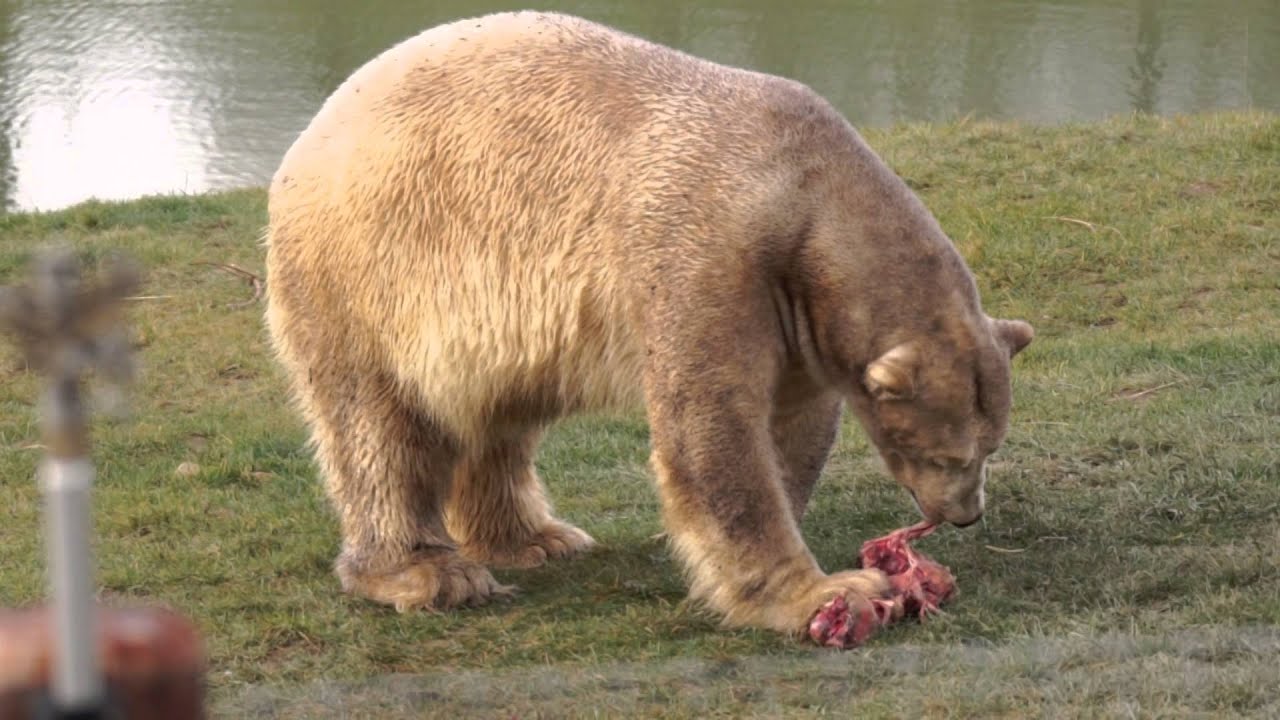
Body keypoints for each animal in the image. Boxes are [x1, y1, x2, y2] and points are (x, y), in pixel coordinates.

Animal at [262, 9, 1033, 647]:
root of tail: (310, 131)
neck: (804, 188)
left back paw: (534, 539)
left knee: (497, 413)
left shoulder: (796, 313)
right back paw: (429, 575)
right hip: (366, 275)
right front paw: (827, 594)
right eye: (949, 456)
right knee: (380, 427)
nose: (965, 515)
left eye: (990, 446)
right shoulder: (706, 255)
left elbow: (792, 425)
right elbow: (713, 435)